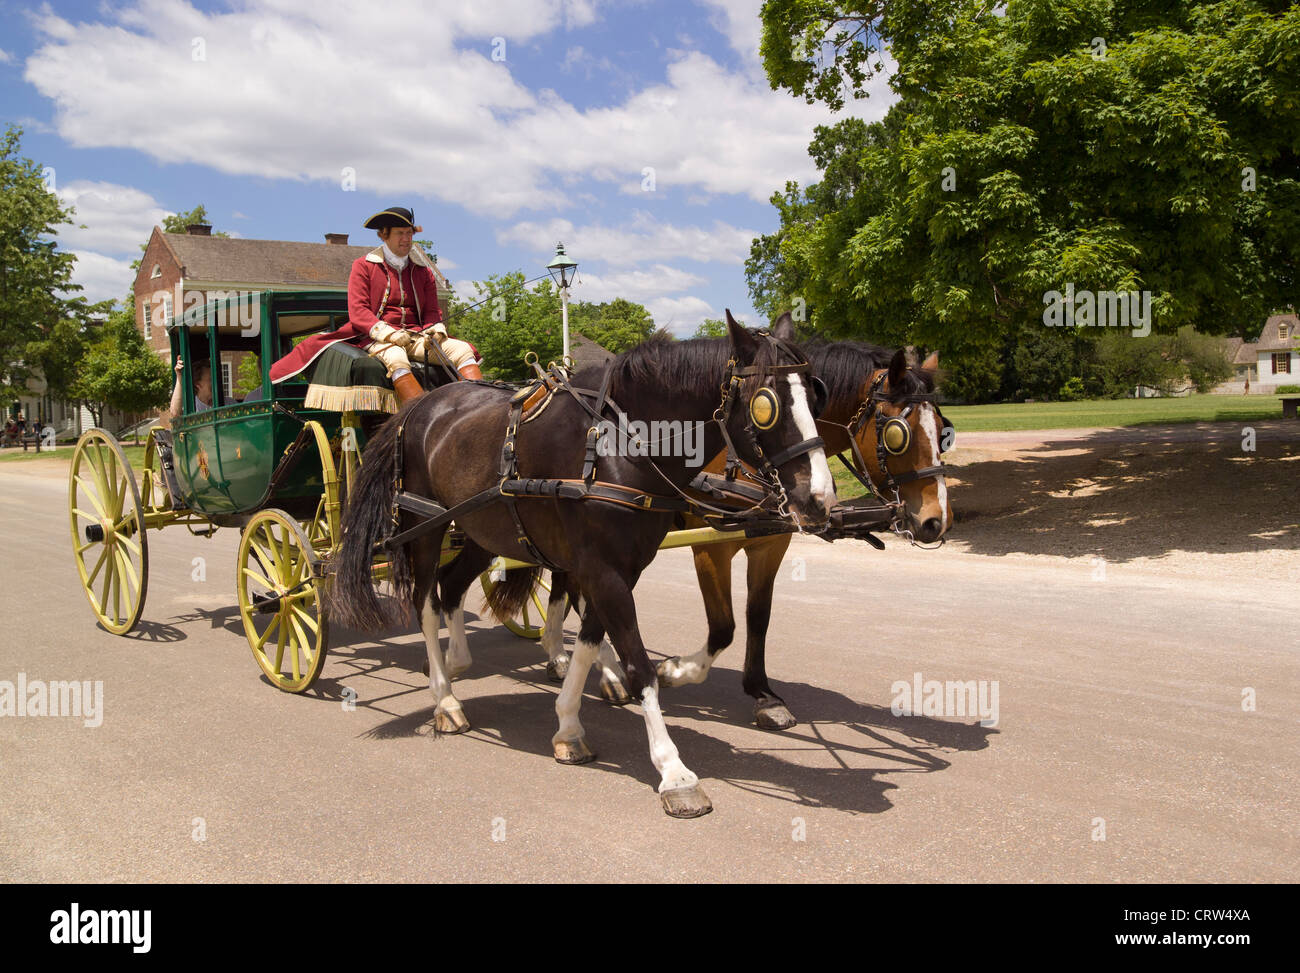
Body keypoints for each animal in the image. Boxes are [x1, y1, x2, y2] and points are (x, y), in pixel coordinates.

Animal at [328, 312, 837, 818]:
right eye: (765, 404)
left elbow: (591, 643)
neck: (620, 445)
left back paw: (457, 663)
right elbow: (638, 665)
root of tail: (417, 407)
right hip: (424, 525)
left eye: (817, 394)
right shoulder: (604, 572)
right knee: (426, 604)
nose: (819, 500)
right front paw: (673, 772)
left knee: (451, 588)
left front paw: (569, 727)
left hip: (479, 529)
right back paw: (445, 699)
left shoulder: (616, 568)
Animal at [539, 326, 953, 730]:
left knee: (567, 584)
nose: (936, 520)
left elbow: (758, 616)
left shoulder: (772, 542)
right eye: (898, 434)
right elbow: (723, 625)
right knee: (579, 592)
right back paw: (600, 670)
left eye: (943, 431)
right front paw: (677, 670)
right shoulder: (711, 546)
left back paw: (562, 653)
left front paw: (763, 694)